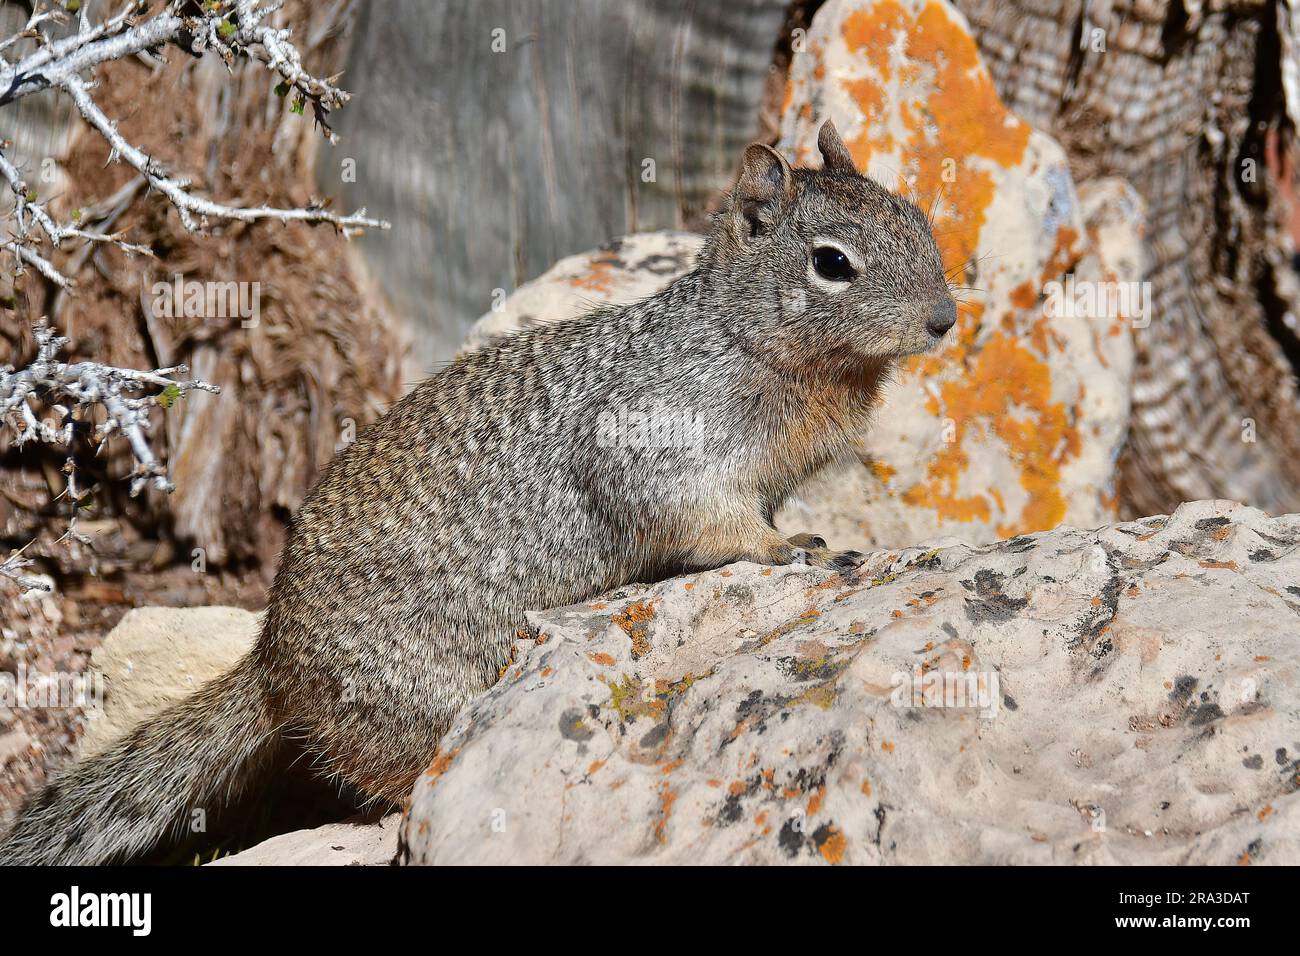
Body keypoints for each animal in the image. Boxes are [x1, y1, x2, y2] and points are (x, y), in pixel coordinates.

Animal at [0, 120, 956, 865]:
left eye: (918, 218)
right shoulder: (660, 437)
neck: (748, 338)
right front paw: (781, 547)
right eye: (832, 264)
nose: (946, 319)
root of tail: (273, 661)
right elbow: (702, 515)